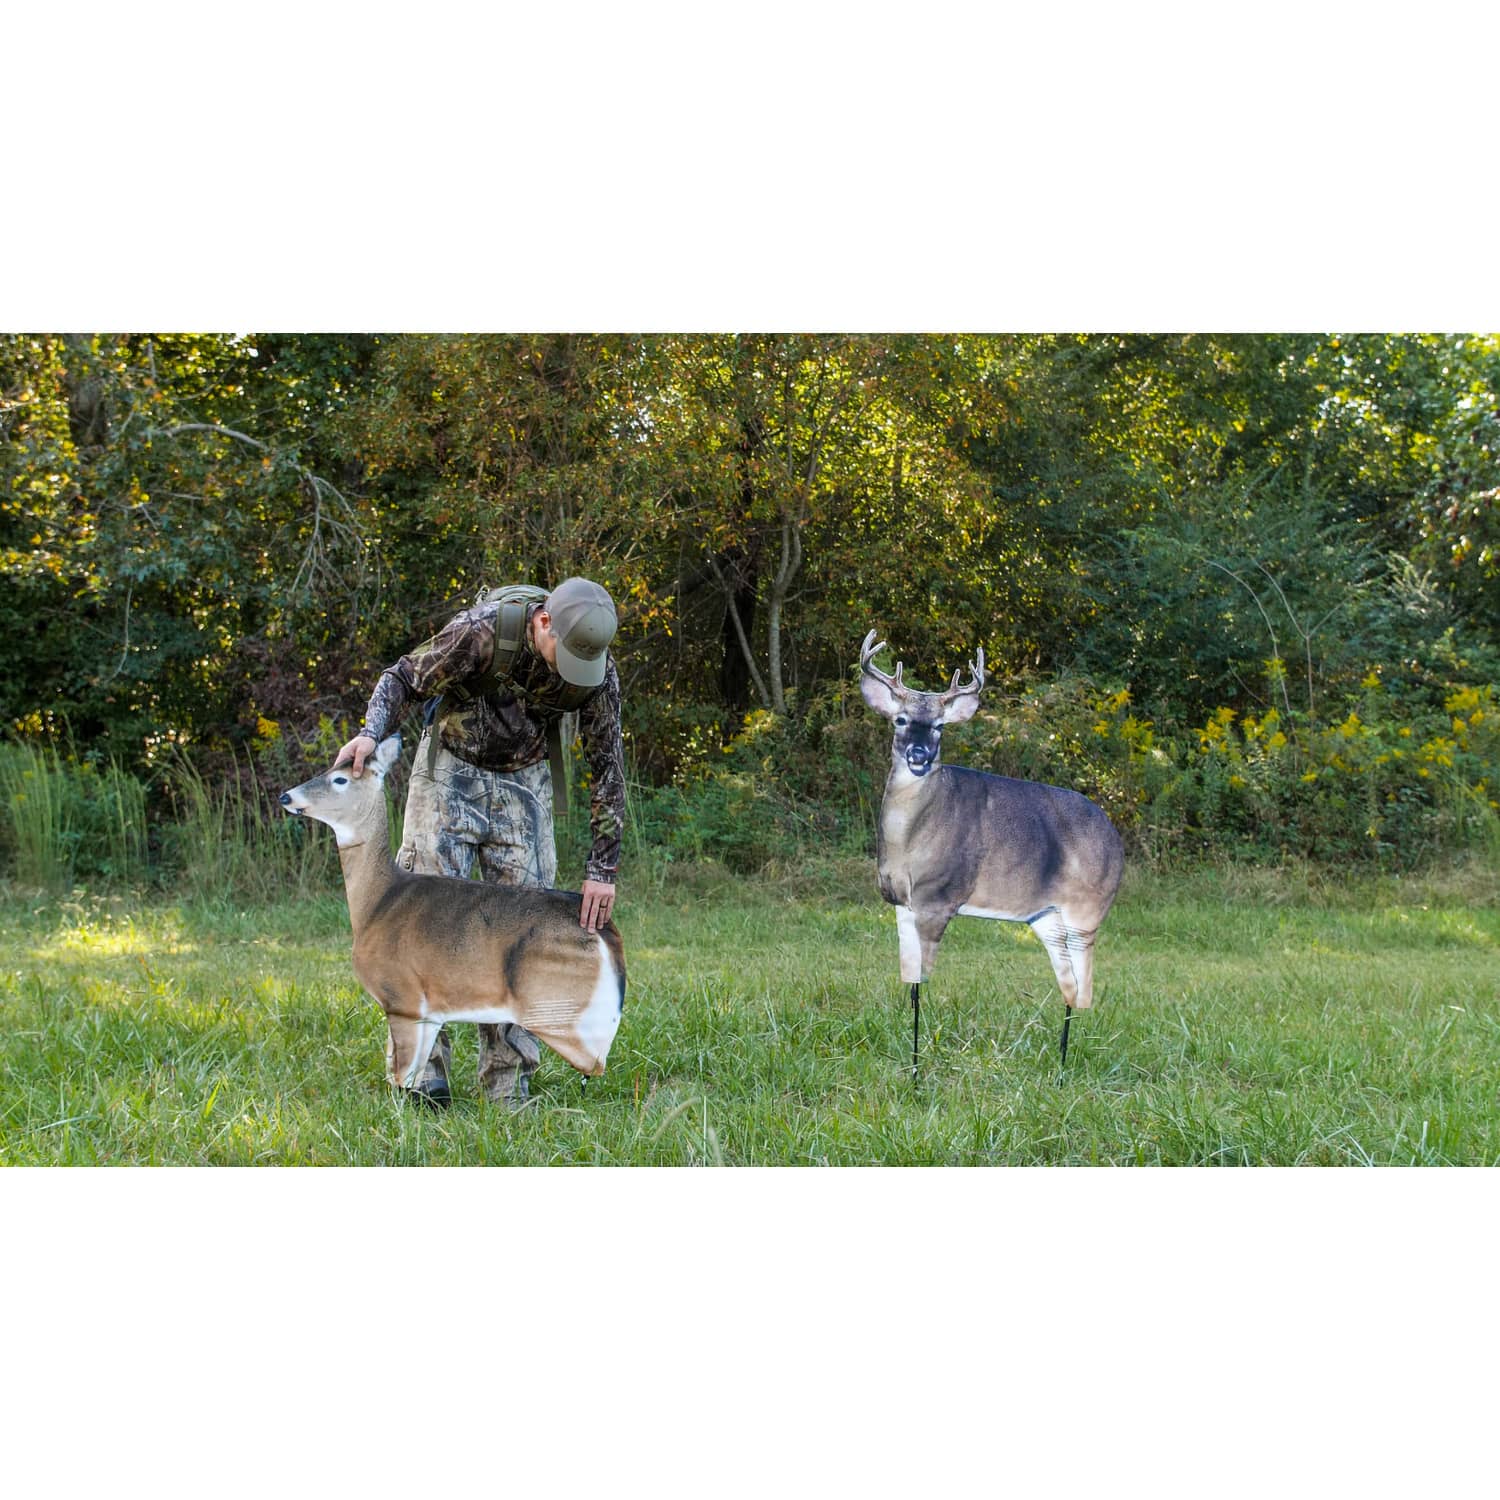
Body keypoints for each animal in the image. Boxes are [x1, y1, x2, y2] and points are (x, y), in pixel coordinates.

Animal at [859, 631, 1124, 1078]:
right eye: (900, 719)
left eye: (940, 727)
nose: (919, 756)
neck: (909, 839)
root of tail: (1117, 840)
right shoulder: (901, 902)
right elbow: (909, 982)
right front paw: (910, 1068)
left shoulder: (938, 898)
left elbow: (921, 984)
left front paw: (917, 1075)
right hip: (1046, 918)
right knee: (1069, 984)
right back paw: (1058, 1068)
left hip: (1088, 909)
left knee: (1084, 984)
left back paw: (1063, 1073)